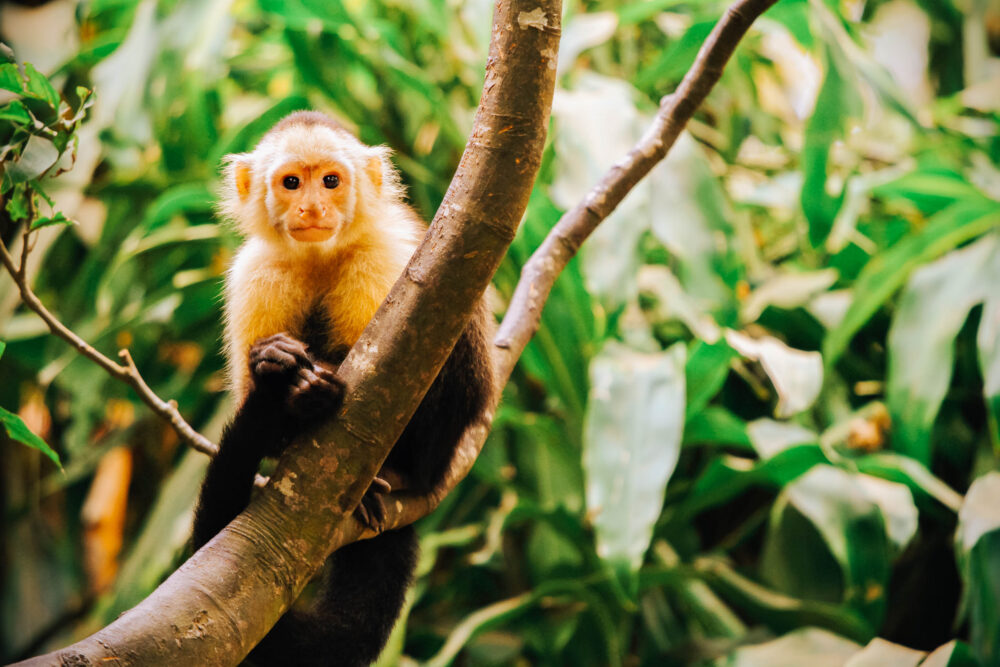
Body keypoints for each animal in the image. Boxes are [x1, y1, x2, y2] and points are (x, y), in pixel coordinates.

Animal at [191, 111, 495, 667]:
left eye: (331, 181)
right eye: (292, 183)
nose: (313, 206)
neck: (321, 258)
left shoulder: (388, 256)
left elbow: (400, 375)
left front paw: (309, 389)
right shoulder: (255, 272)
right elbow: (250, 389)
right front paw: (278, 372)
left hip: (437, 451)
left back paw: (383, 477)